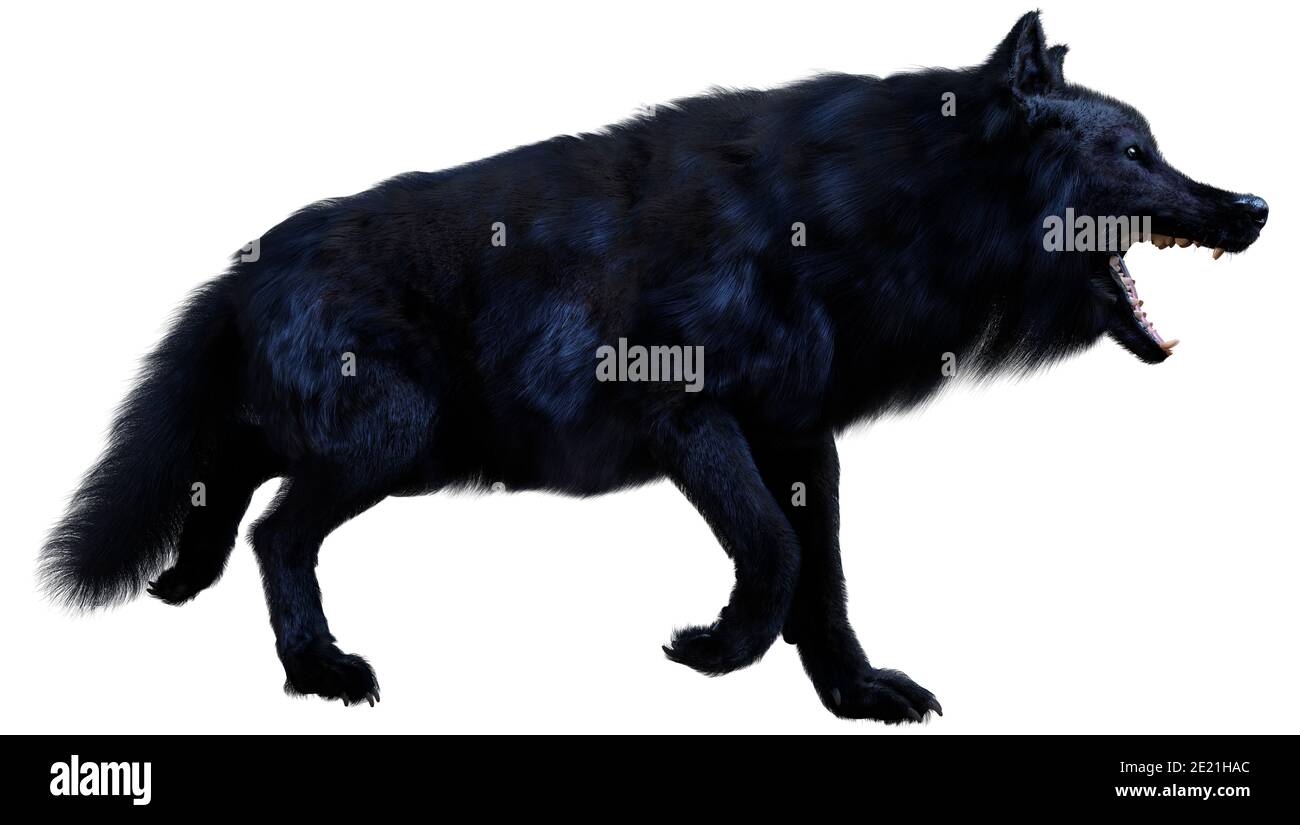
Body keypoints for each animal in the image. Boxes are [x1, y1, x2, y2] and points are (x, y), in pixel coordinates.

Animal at [42, 12, 1267, 720]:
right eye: (1134, 152)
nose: (1252, 206)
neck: (854, 218)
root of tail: (247, 261)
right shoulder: (695, 421)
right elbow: (773, 554)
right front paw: (716, 653)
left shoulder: (799, 437)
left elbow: (824, 576)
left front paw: (852, 691)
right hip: (392, 447)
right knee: (274, 531)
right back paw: (317, 670)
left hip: (374, 444)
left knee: (226, 480)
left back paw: (181, 583)